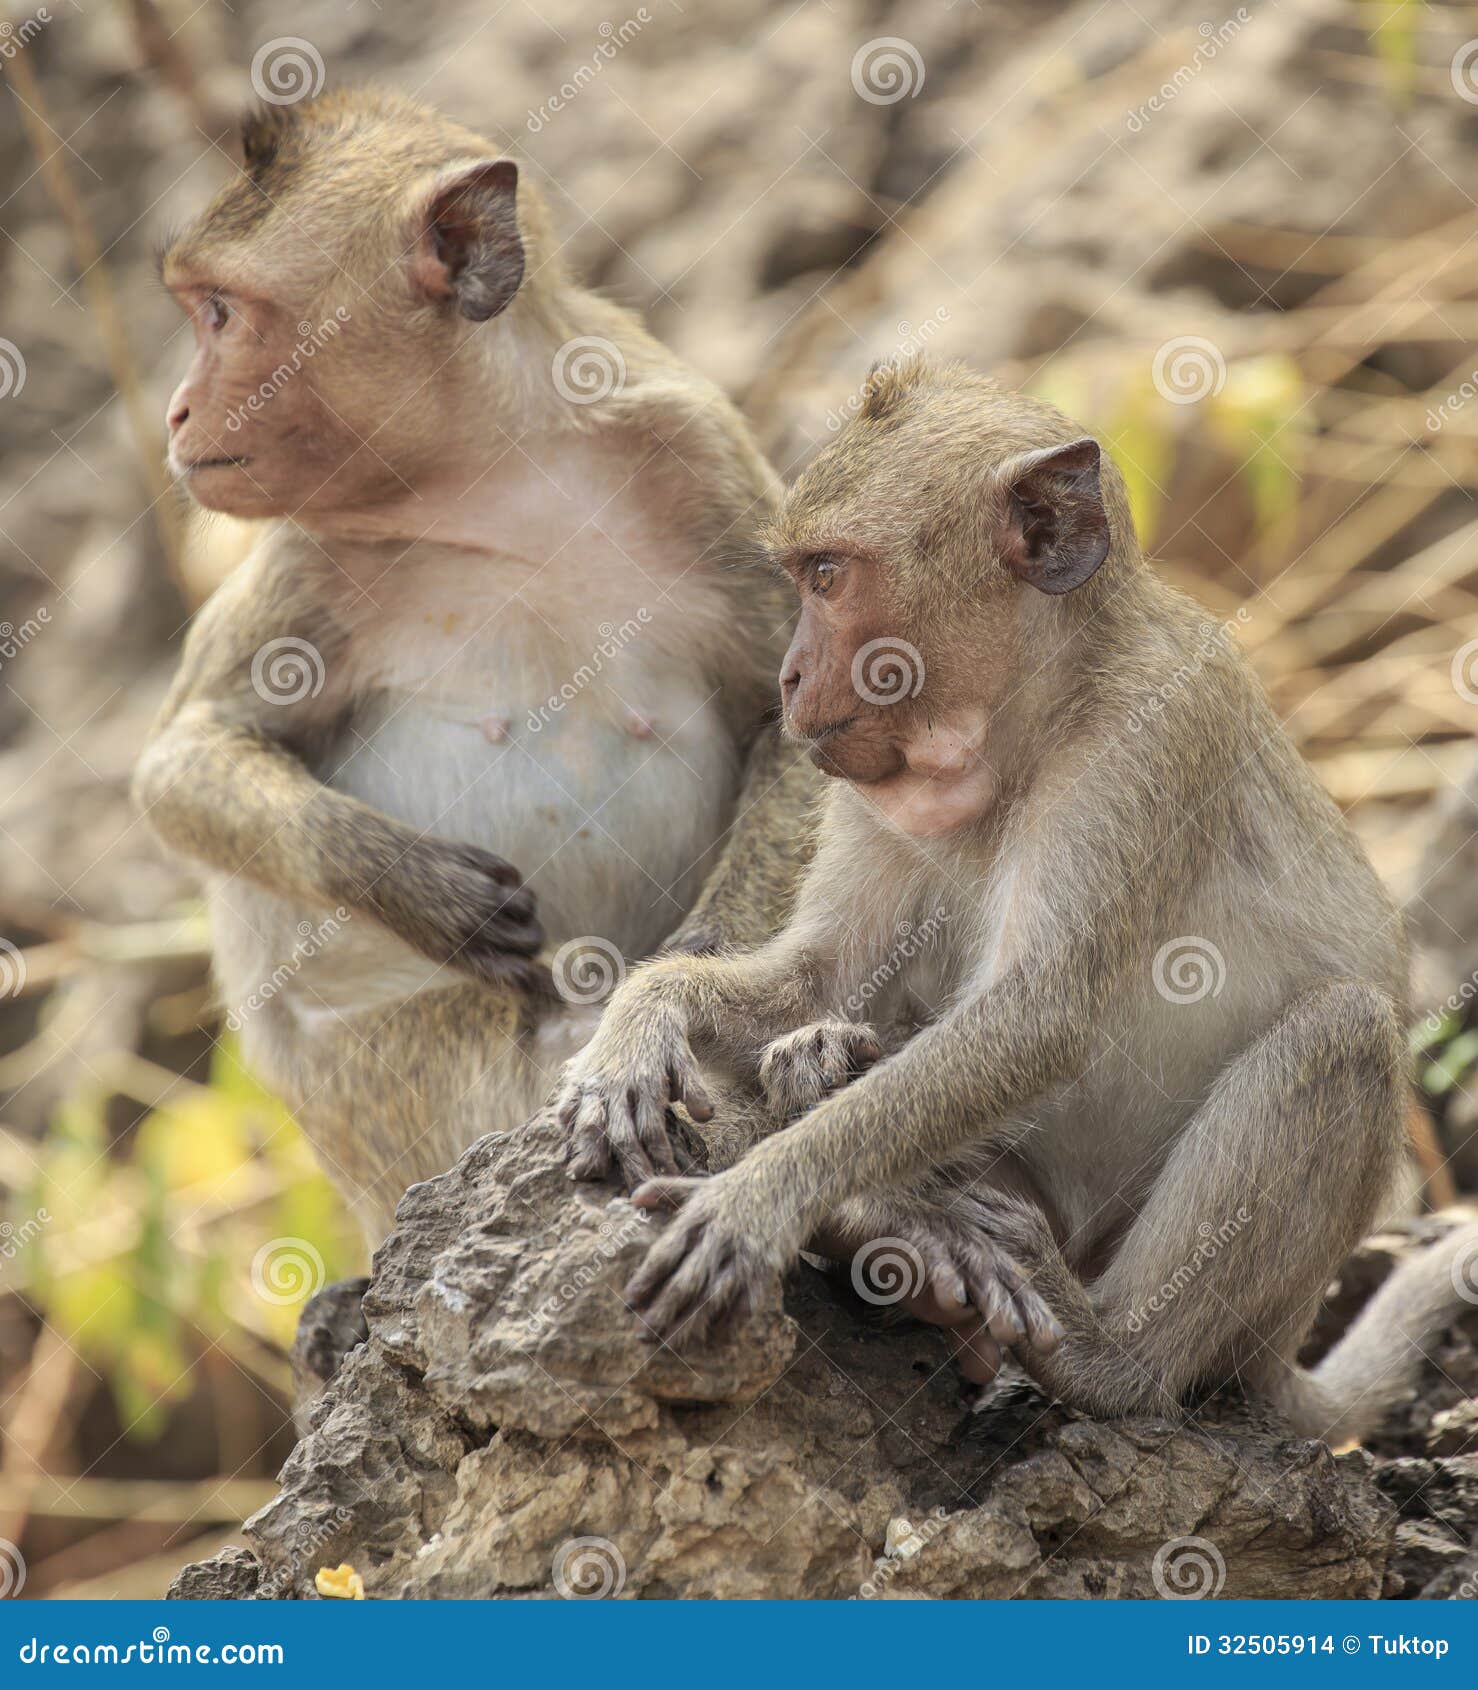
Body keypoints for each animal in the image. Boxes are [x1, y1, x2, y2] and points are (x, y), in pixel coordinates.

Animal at [133, 89, 817, 1258]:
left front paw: (672, 1009)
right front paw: (420, 889)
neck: (497, 472)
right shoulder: (311, 551)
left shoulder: (696, 445)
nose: (177, 411)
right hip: (405, 1092)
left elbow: (813, 722)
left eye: (221, 312)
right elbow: (185, 761)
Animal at [554, 357, 1478, 1445]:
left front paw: (762, 1194)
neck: (1026, 713)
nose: (788, 674)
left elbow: (1043, 1015)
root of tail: (1280, 1349)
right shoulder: (869, 785)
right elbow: (813, 979)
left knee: (1342, 1033)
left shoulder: (1144, 741)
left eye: (827, 575)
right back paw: (892, 1208)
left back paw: (1103, 1353)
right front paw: (634, 1035)